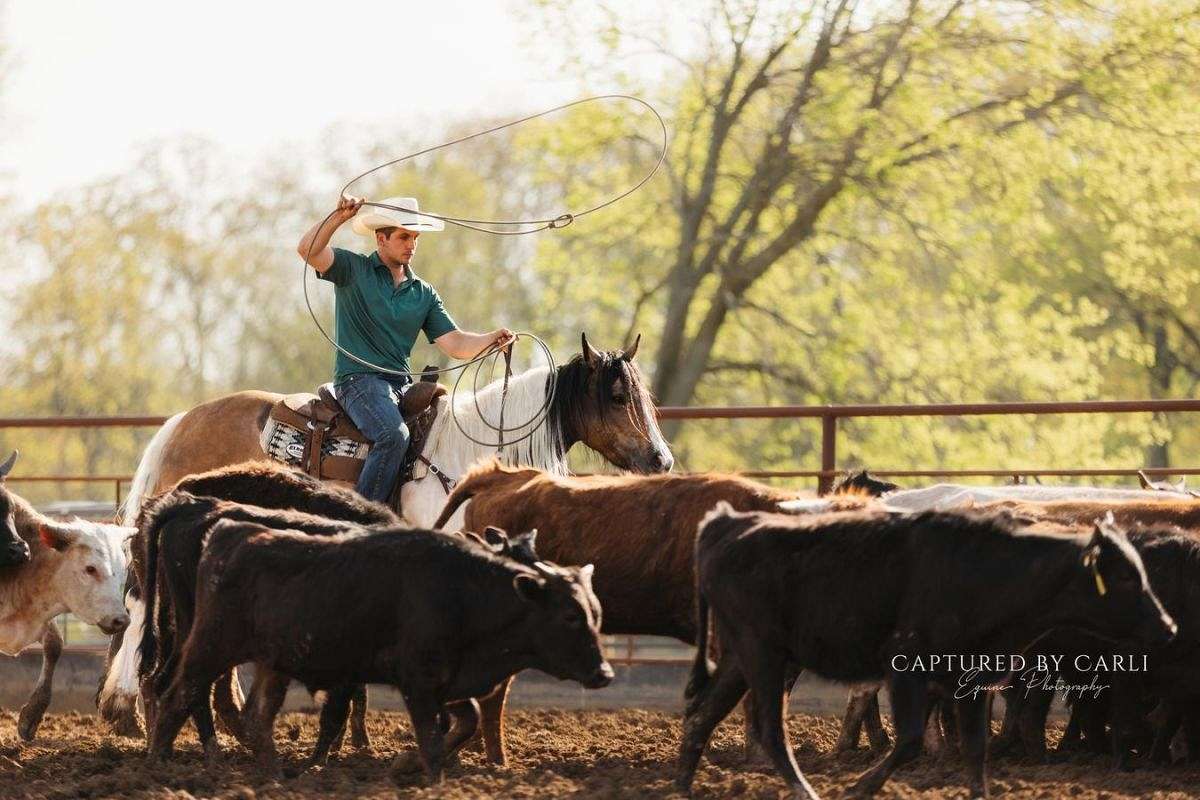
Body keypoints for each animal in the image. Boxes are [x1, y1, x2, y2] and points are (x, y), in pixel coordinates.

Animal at [97, 332, 673, 735]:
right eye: (616, 396)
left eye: (645, 396)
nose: (662, 460)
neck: (465, 454)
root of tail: (180, 423)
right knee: (144, 608)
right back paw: (132, 709)